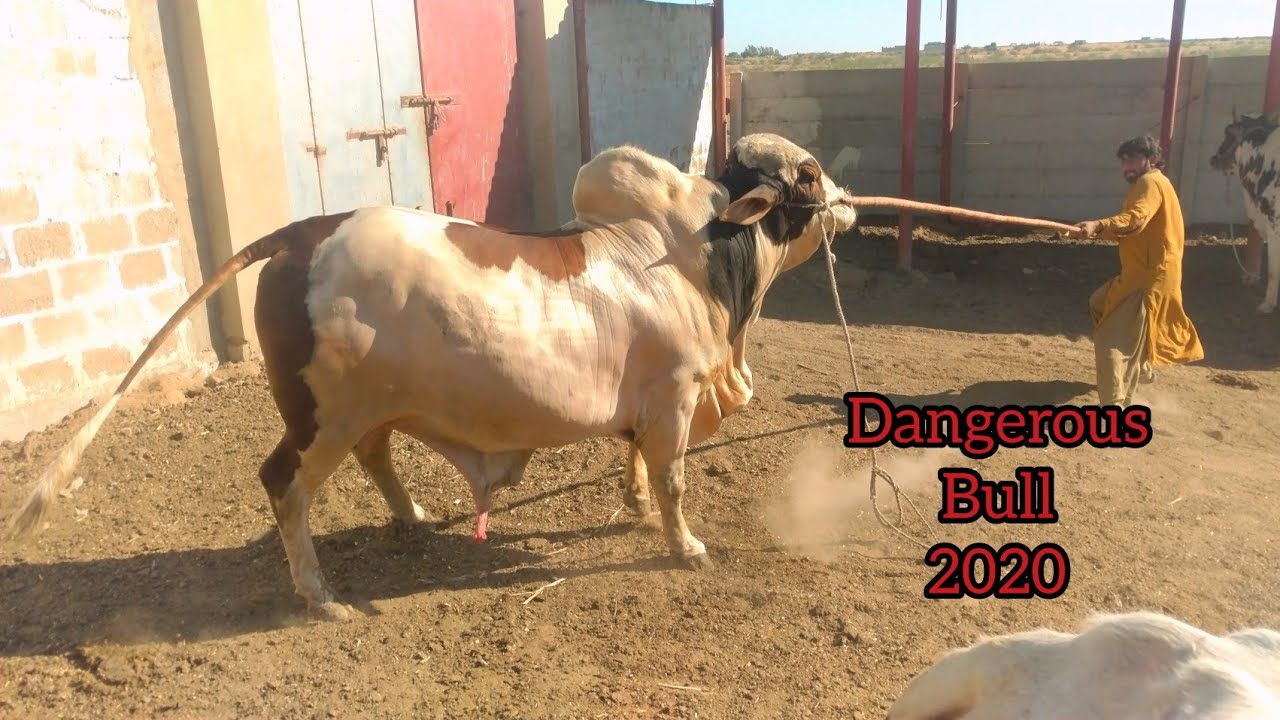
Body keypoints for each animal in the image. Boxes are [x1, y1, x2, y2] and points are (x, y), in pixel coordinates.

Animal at [6, 133, 858, 621]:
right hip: (318, 418)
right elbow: (675, 480)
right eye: (811, 176)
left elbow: (637, 464)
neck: (696, 254)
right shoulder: (676, 396)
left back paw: (413, 514)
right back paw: (319, 595)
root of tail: (302, 234)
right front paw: (684, 545)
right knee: (284, 484)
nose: (850, 203)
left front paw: (637, 506)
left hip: (369, 408)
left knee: (376, 455)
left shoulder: (650, 405)